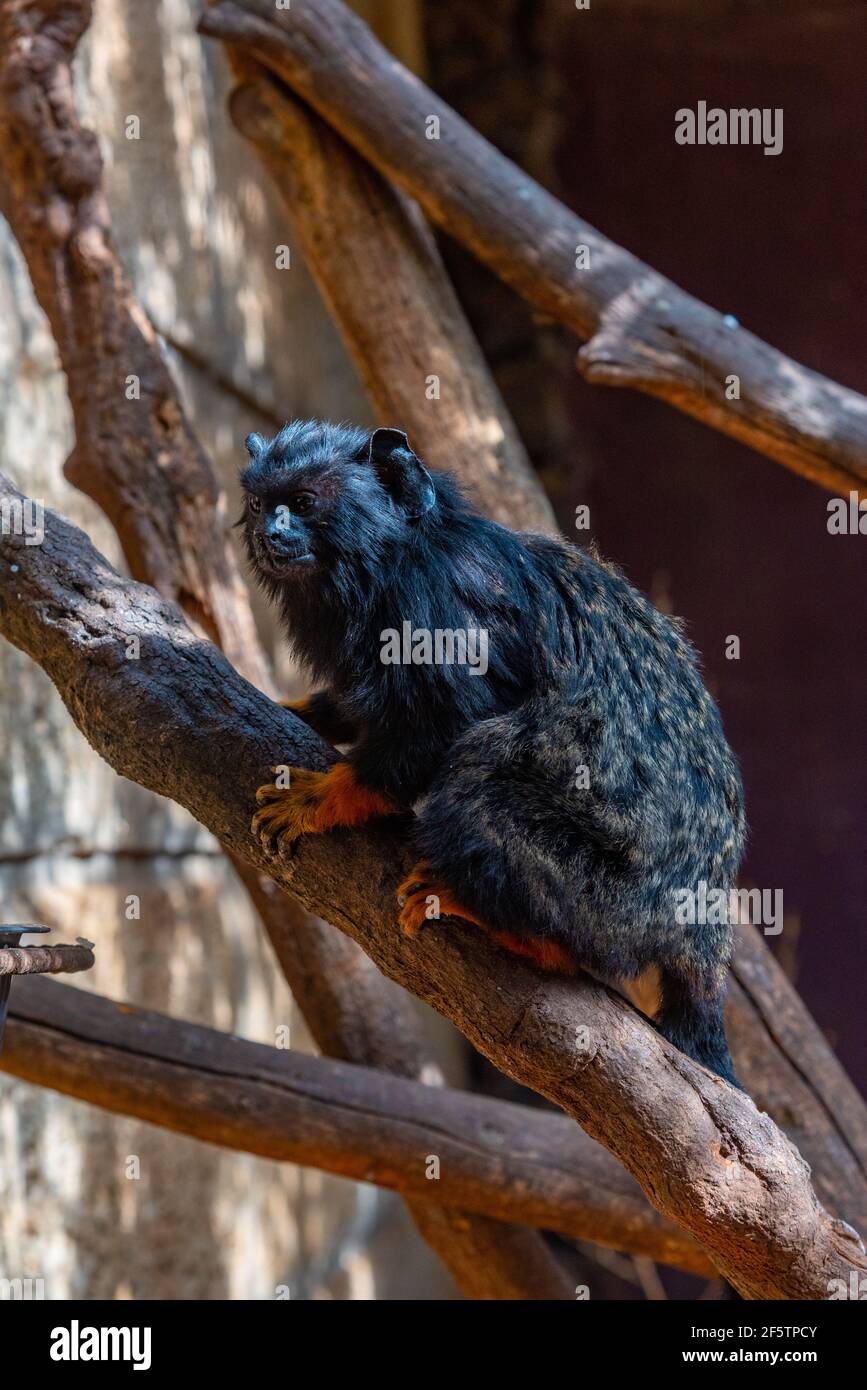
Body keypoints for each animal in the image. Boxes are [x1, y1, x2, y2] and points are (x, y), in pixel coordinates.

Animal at [240, 419, 746, 1088]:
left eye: (302, 503)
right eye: (259, 505)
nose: (272, 532)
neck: (393, 558)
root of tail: (699, 929)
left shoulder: (435, 608)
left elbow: (445, 722)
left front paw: (327, 797)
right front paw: (302, 709)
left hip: (612, 899)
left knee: (481, 773)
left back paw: (517, 931)